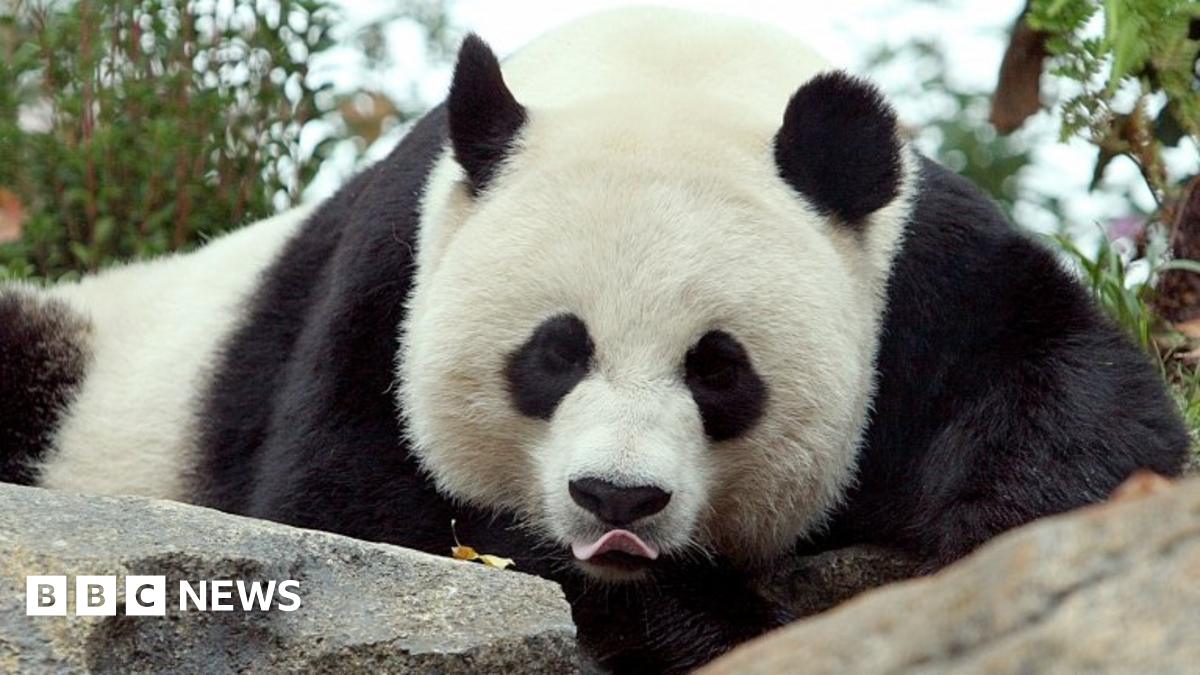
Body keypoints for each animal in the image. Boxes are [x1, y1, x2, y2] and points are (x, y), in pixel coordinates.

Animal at [0, 7, 1189, 673]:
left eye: (719, 369)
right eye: (553, 353)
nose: (619, 499)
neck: (665, 68)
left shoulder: (912, 273)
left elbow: (1074, 400)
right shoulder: (390, 278)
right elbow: (354, 508)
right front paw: (710, 629)